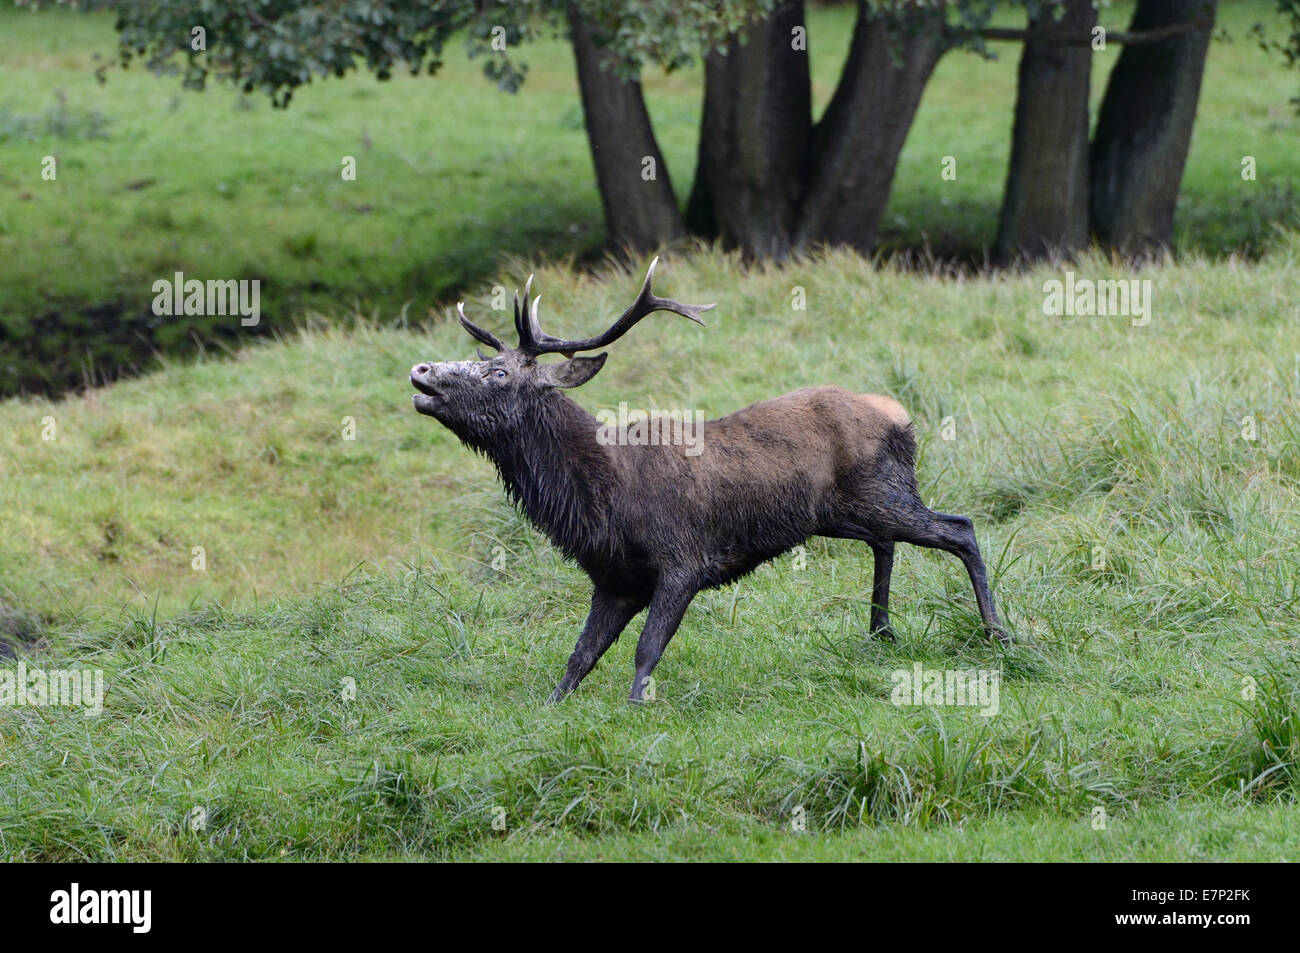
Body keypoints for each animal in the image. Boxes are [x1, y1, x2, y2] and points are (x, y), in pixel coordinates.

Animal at [409, 259, 1007, 703]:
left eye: (499, 372)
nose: (421, 370)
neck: (603, 496)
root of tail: (900, 414)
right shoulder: (614, 577)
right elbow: (579, 656)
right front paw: (551, 707)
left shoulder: (683, 557)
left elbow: (646, 649)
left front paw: (636, 709)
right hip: (838, 513)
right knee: (887, 542)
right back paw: (881, 631)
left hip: (884, 492)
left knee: (959, 527)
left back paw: (997, 634)